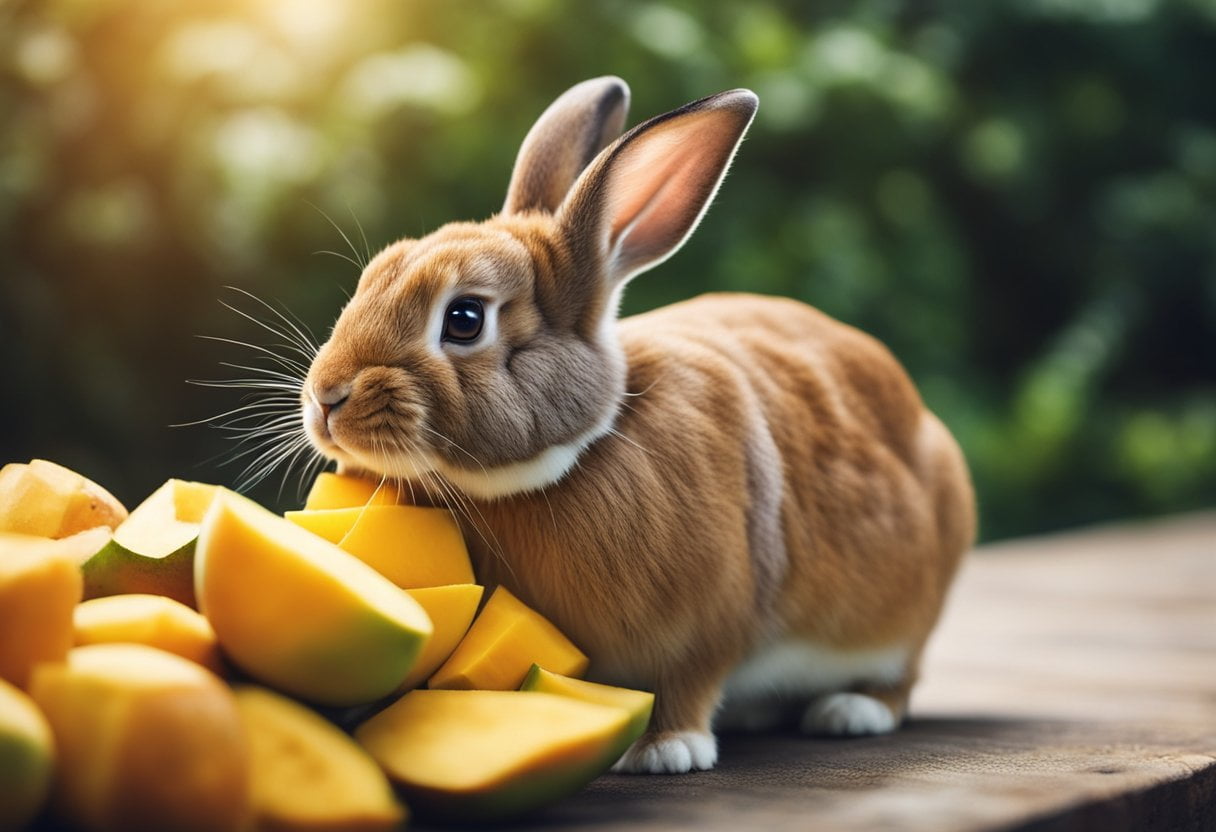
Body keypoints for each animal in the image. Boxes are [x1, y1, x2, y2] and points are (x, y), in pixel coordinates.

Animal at [301, 77, 975, 774]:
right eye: (373, 275)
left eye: (464, 319)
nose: (327, 398)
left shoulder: (707, 628)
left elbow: (688, 683)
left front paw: (665, 750)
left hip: (906, 615)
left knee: (899, 677)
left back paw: (850, 711)